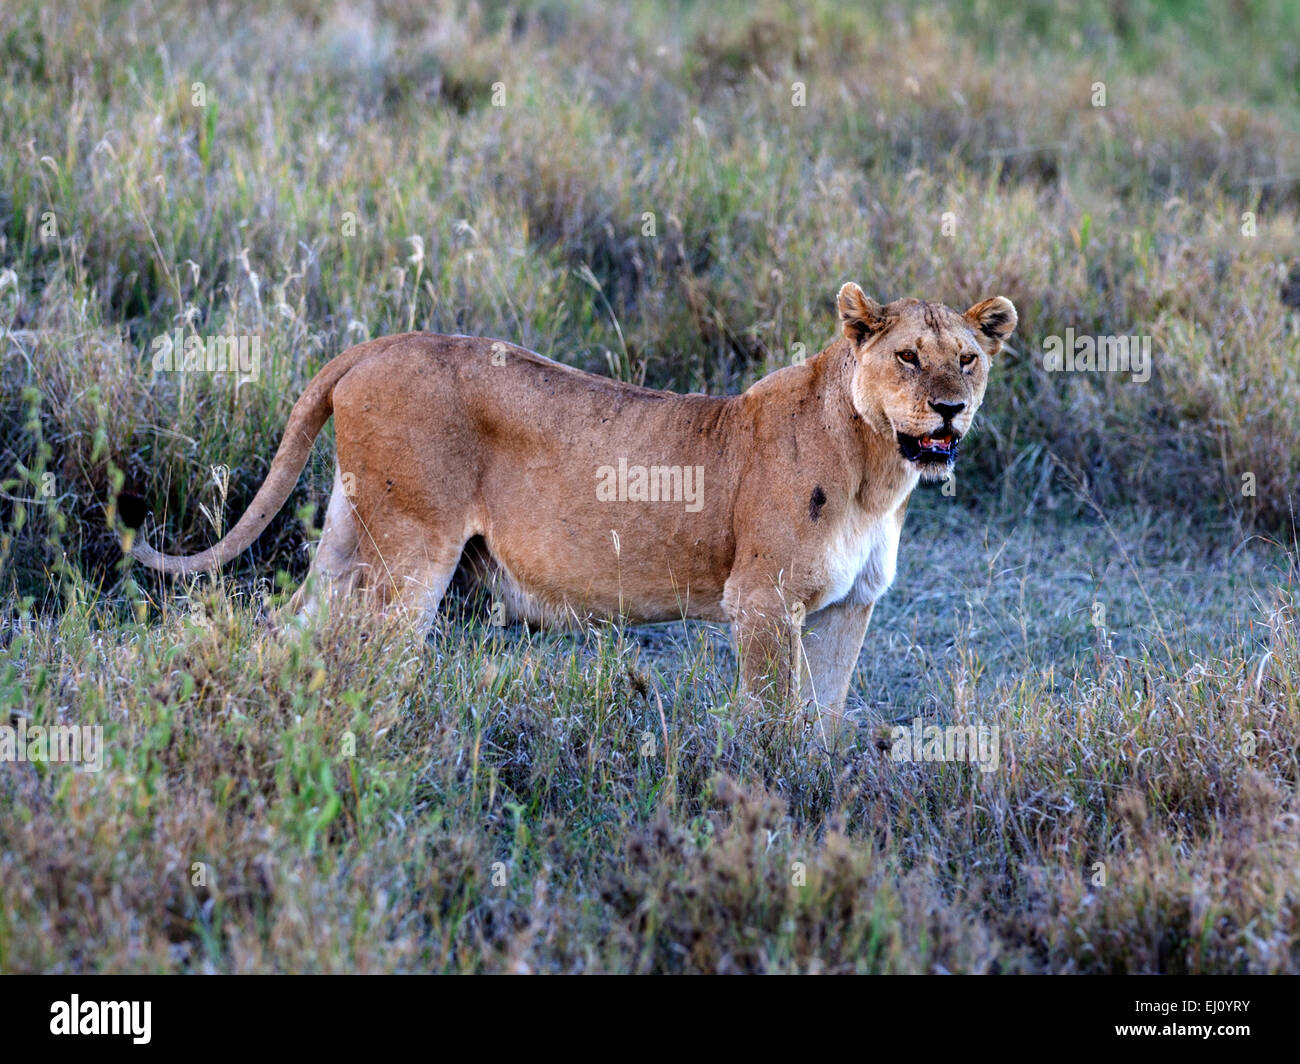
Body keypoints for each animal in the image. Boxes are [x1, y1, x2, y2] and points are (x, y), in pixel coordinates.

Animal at [129, 283, 1016, 730]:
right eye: (908, 357)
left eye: (968, 359)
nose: (949, 410)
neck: (877, 472)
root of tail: (376, 344)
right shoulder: (763, 604)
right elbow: (775, 720)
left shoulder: (845, 609)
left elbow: (824, 722)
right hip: (408, 556)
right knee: (368, 661)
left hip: (352, 545)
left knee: (289, 634)